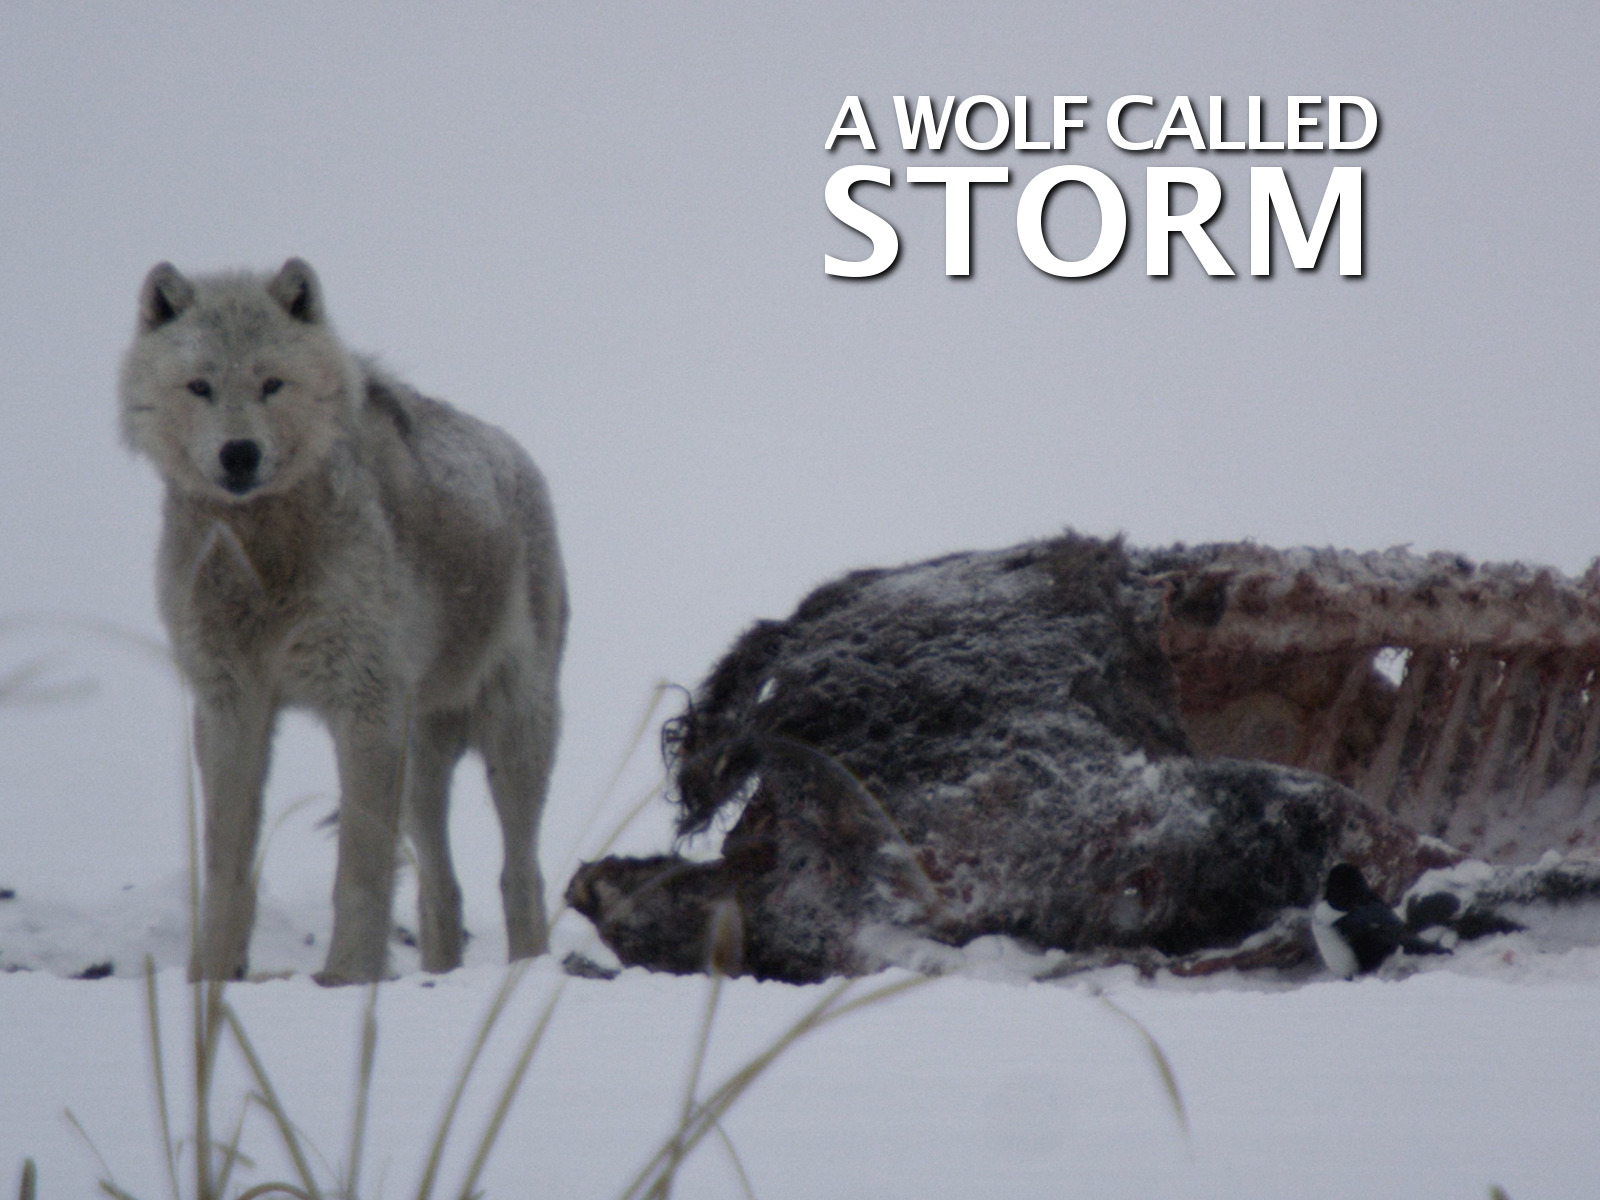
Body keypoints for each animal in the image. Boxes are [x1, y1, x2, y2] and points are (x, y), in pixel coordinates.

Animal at [119, 258, 567, 984]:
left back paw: (527, 971)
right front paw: (211, 978)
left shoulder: (364, 705)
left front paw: (348, 977)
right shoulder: (230, 706)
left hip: (513, 735)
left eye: (272, 383)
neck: (264, 559)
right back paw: (441, 972)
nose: (239, 454)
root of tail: (517, 457)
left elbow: (358, 870)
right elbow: (225, 867)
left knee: (518, 874)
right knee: (443, 887)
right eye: (201, 386)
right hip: (422, 762)